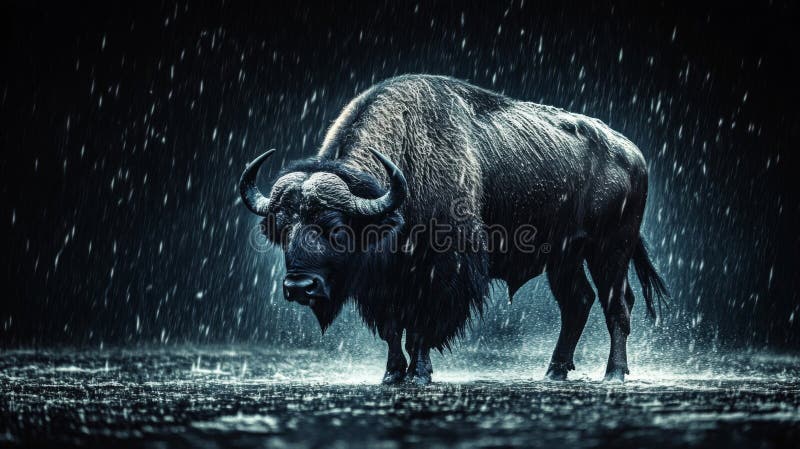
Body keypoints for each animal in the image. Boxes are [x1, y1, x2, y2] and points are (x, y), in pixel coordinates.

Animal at [239, 74, 667, 384]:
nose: (299, 286)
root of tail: (632, 153)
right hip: (564, 258)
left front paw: (419, 375)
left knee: (617, 305)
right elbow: (393, 330)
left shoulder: (440, 274)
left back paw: (614, 374)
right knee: (578, 302)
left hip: (610, 250)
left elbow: (420, 329)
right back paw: (554, 372)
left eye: (336, 228)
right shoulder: (384, 285)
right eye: (283, 229)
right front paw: (392, 375)